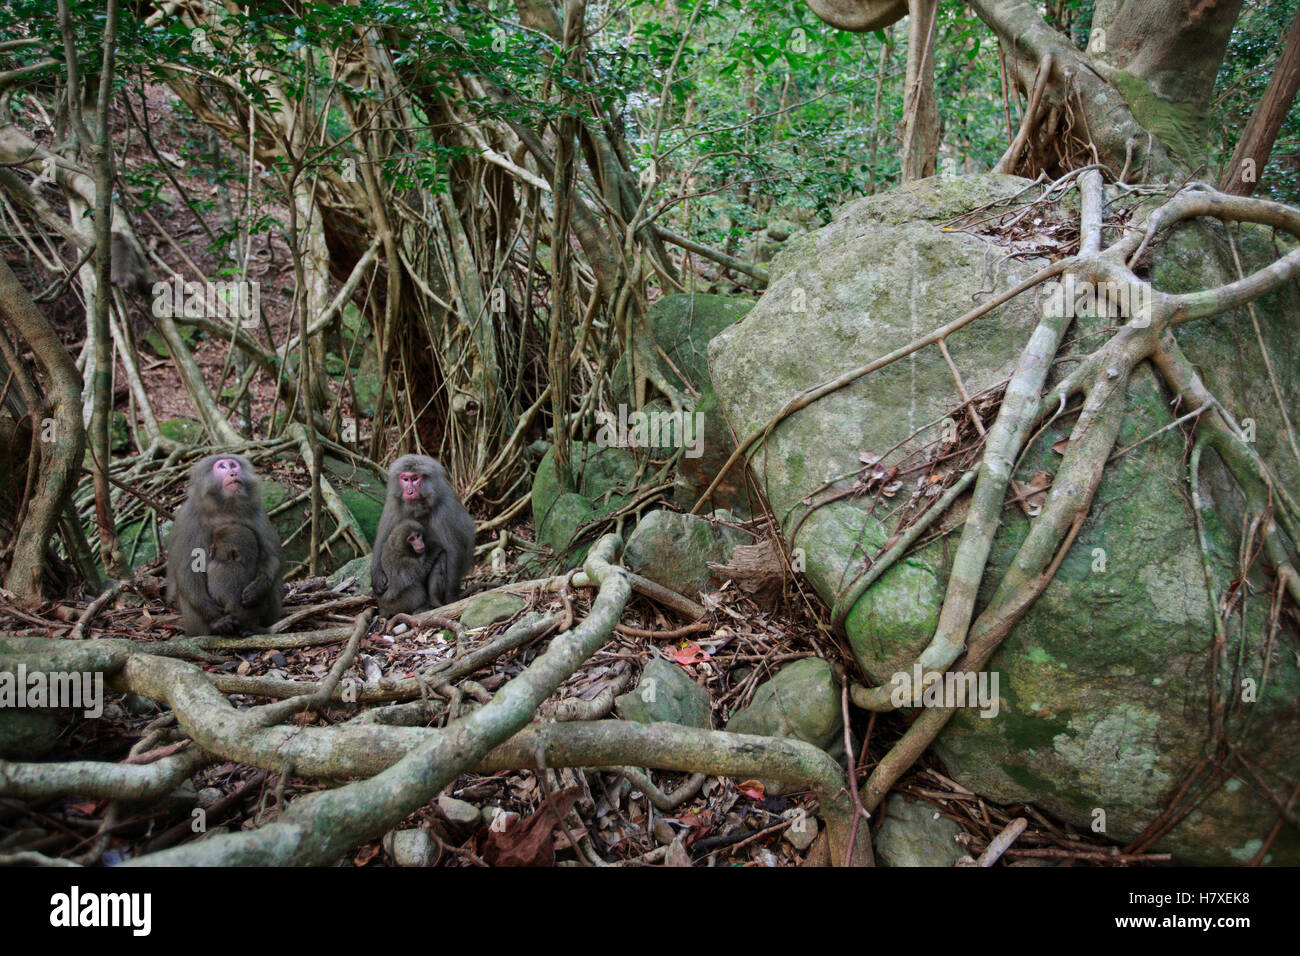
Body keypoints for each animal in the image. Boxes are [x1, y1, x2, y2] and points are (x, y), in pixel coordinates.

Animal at [166, 454, 283, 636]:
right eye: (222, 467)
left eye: (233, 465)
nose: (233, 473)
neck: (225, 508)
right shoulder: (188, 521)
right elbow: (187, 572)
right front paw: (217, 617)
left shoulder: (256, 513)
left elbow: (271, 557)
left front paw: (259, 587)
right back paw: (216, 626)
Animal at [371, 454, 475, 608]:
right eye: (405, 479)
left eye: (415, 478)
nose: (409, 491)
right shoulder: (393, 503)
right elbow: (384, 539)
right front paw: (377, 576)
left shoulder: (445, 510)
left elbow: (453, 551)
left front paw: (451, 597)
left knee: (442, 558)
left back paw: (433, 601)